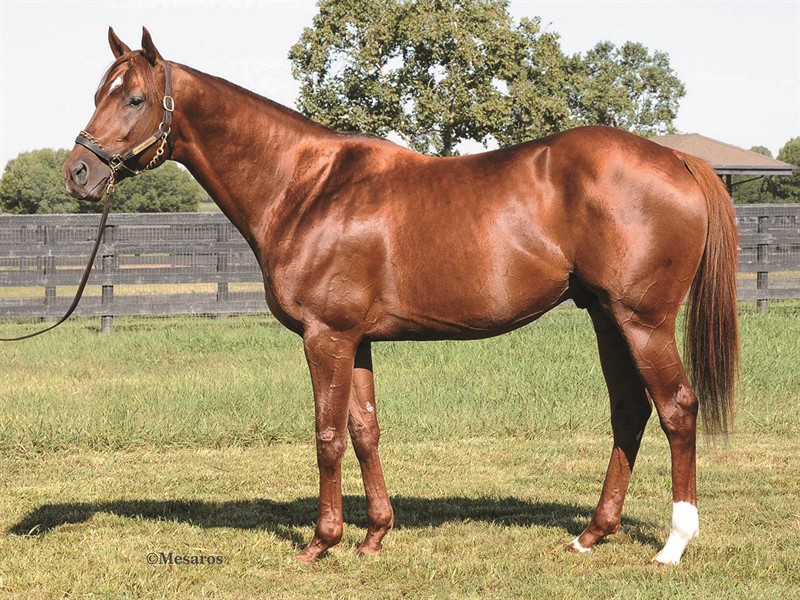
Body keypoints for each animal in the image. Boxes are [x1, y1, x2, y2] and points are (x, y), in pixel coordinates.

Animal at [63, 28, 739, 565]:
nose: (78, 172)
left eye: (134, 97)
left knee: (677, 408)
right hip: (605, 316)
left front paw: (321, 542)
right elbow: (365, 429)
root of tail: (678, 159)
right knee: (630, 411)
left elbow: (328, 434)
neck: (306, 187)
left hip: (642, 319)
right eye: (98, 92)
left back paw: (674, 544)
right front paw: (374, 536)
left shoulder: (326, 336)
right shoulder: (356, 339)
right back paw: (591, 534)